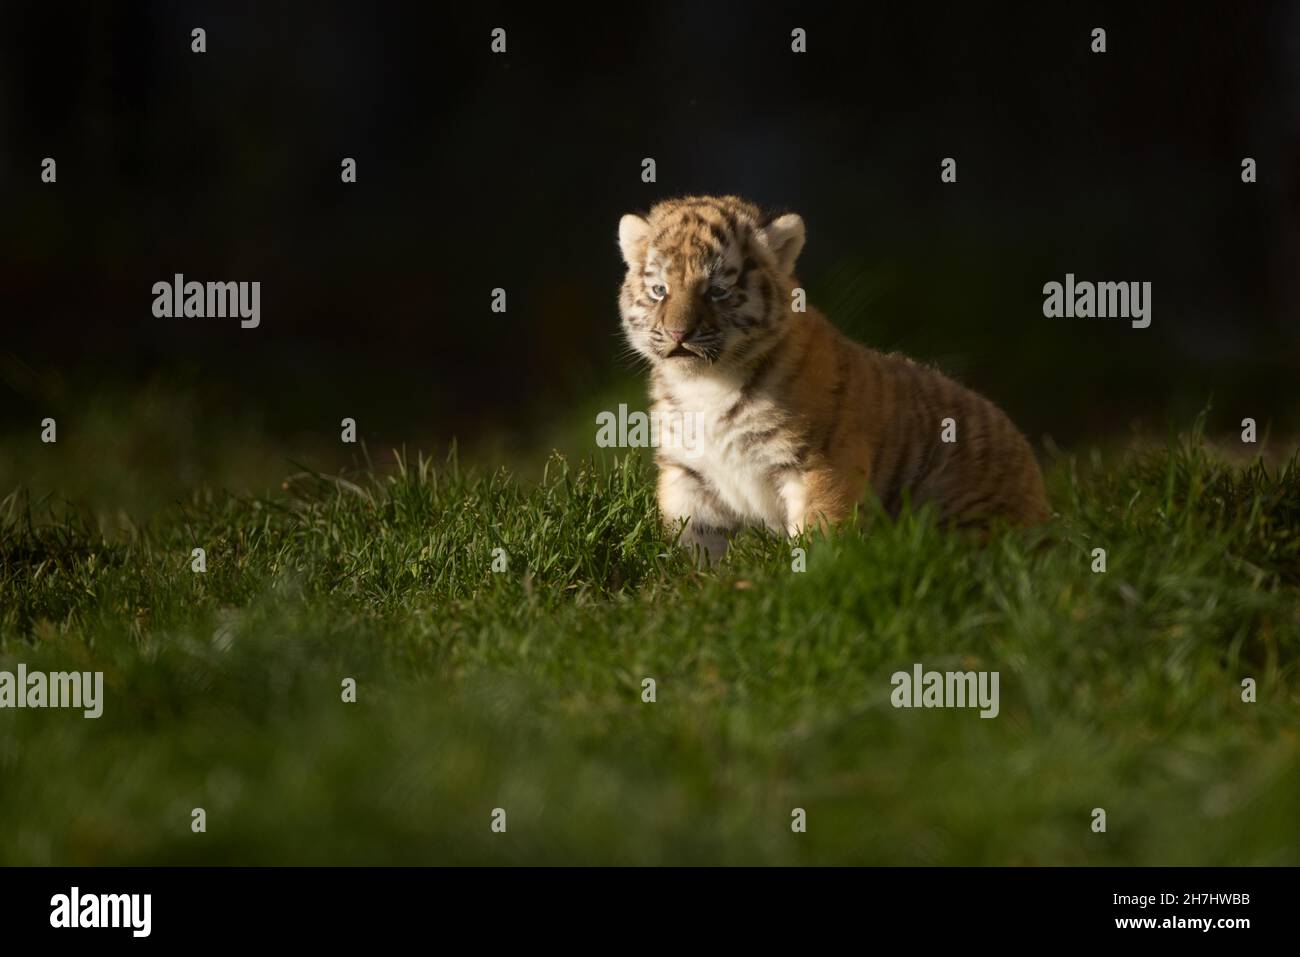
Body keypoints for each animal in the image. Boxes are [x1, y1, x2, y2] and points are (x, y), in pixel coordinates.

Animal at [616, 194, 1050, 562]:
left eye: (717, 290)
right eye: (659, 290)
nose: (678, 334)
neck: (706, 383)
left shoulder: (819, 464)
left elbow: (820, 539)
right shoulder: (688, 473)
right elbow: (695, 540)